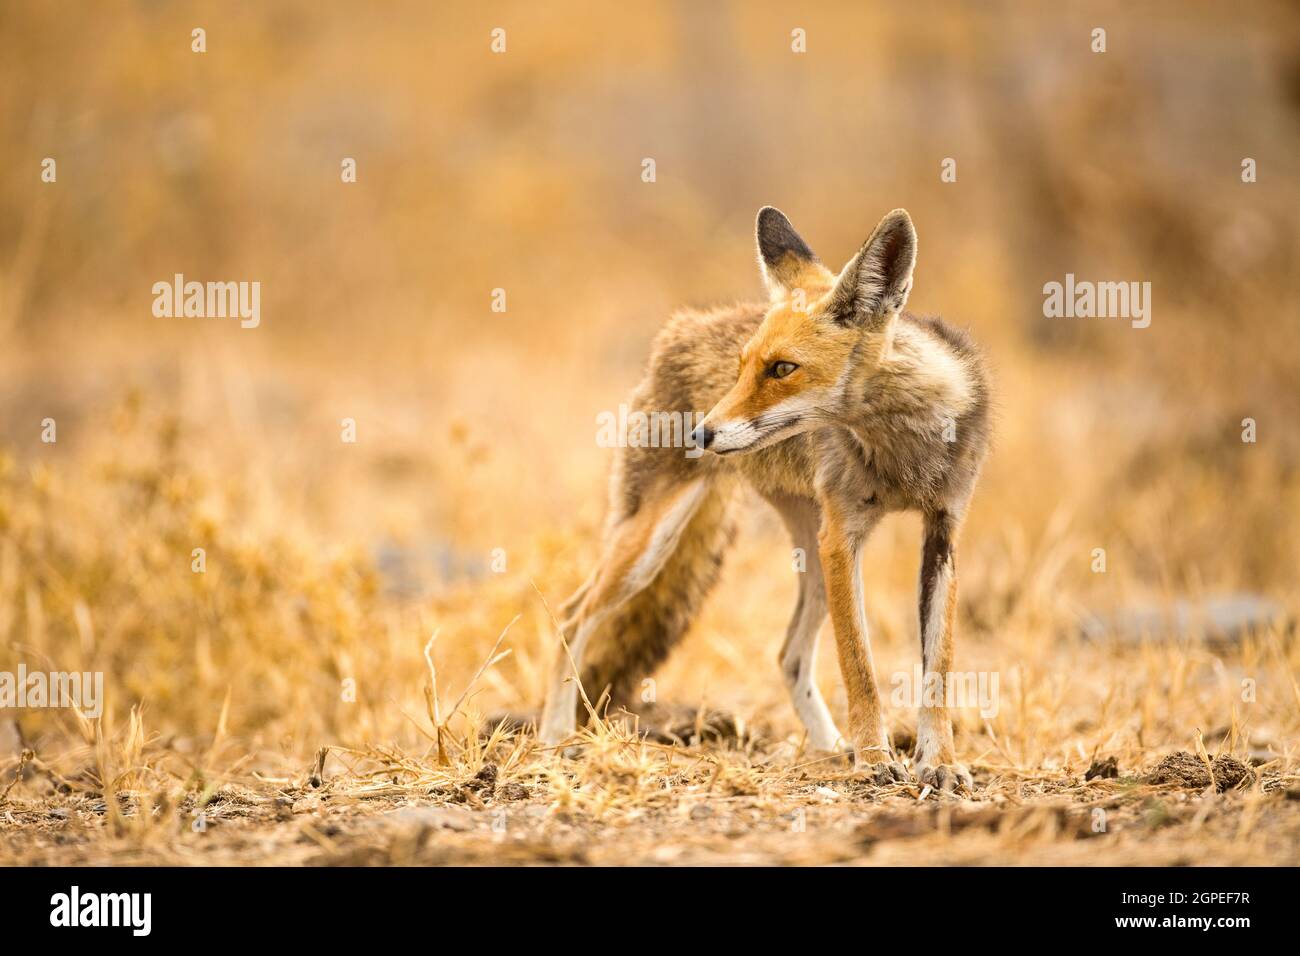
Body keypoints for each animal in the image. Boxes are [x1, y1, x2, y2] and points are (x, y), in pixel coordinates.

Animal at [537, 206, 991, 792]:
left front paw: (938, 762)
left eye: (782, 369)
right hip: (652, 541)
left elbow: (938, 670)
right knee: (572, 616)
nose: (700, 435)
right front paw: (875, 760)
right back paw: (553, 736)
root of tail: (681, 325)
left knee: (789, 655)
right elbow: (860, 668)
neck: (901, 449)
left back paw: (829, 747)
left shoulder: (941, 532)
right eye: (743, 367)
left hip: (810, 555)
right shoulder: (843, 537)